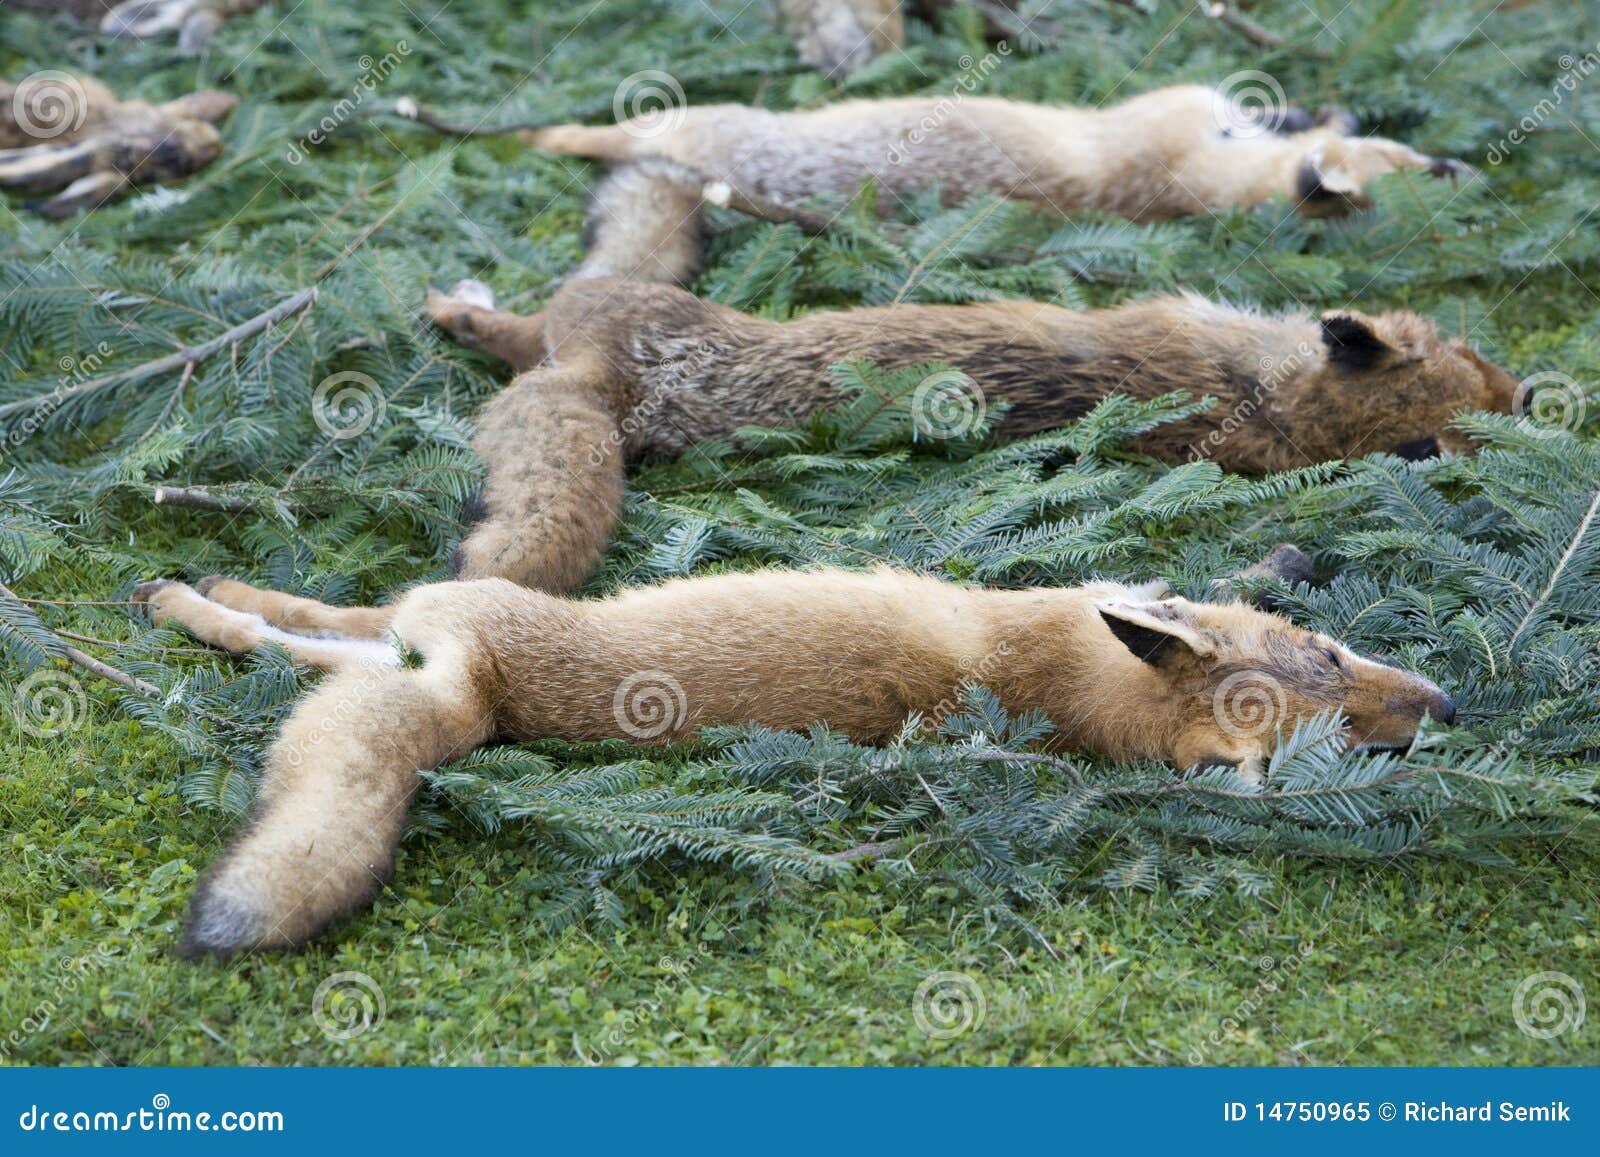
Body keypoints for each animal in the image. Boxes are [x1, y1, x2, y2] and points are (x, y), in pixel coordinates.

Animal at [129, 544, 1455, 955]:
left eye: (1347, 738)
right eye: (1330, 662)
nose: (1441, 702)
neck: (1072, 693)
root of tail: (492, 704)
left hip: (428, 638)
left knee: (316, 641)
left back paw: (191, 602)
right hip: (432, 634)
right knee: (319, 631)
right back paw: (199, 592)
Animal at [423, 275, 1520, 594]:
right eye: (1474, 360)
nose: (1534, 392)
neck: (1259, 391)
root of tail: (630, 393)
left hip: (585, 323)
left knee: (518, 336)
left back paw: (459, 315)